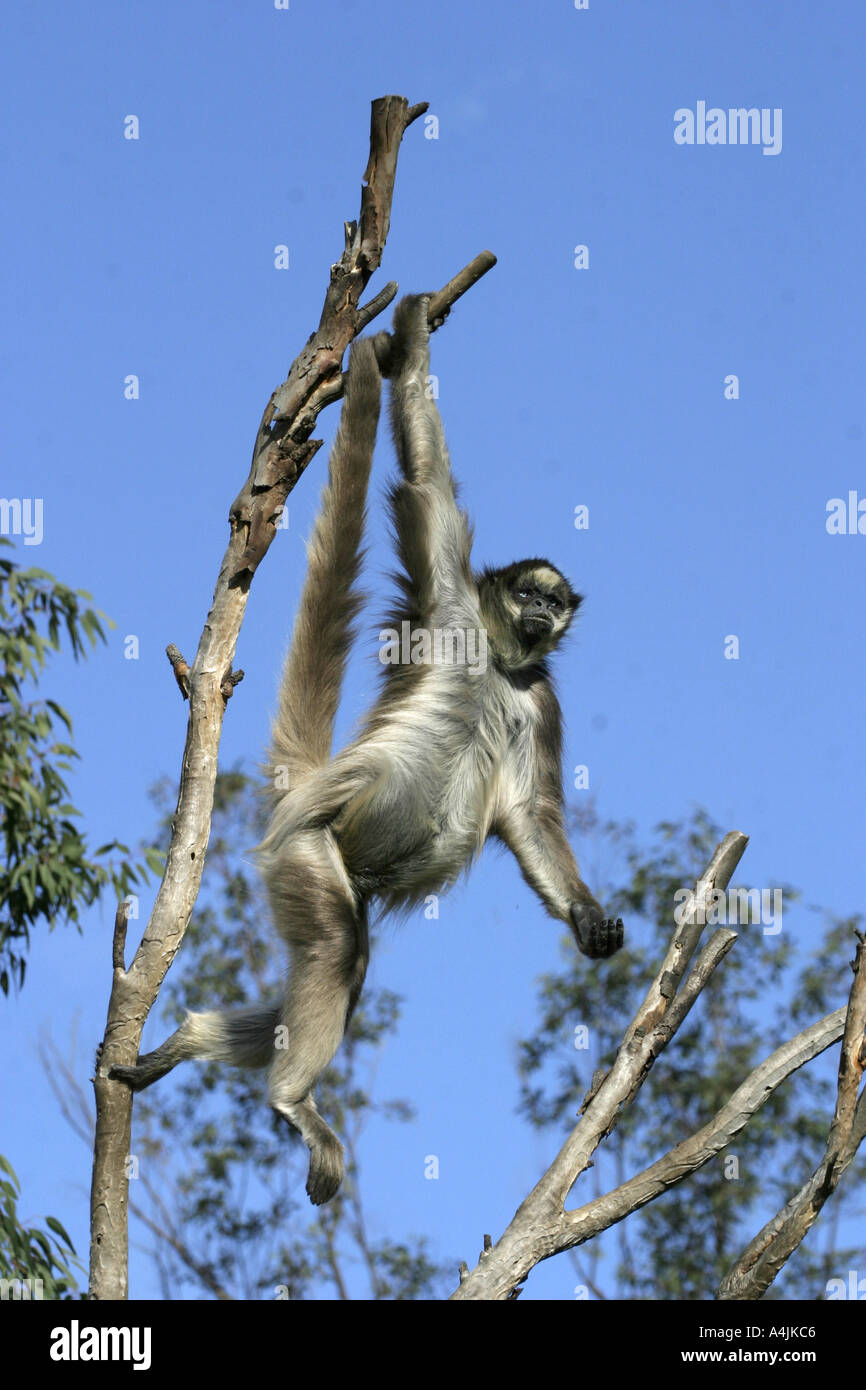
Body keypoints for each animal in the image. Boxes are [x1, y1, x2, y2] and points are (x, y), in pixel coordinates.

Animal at [112, 296, 624, 1206]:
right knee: (339, 949)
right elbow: (427, 482)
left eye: (556, 604)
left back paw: (191, 1037)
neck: (497, 662)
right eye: (528, 593)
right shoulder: (448, 602)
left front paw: (587, 917)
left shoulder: (539, 692)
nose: (542, 614)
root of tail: (309, 790)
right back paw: (288, 1100)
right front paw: (412, 333)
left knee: (345, 968)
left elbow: (530, 813)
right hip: (310, 852)